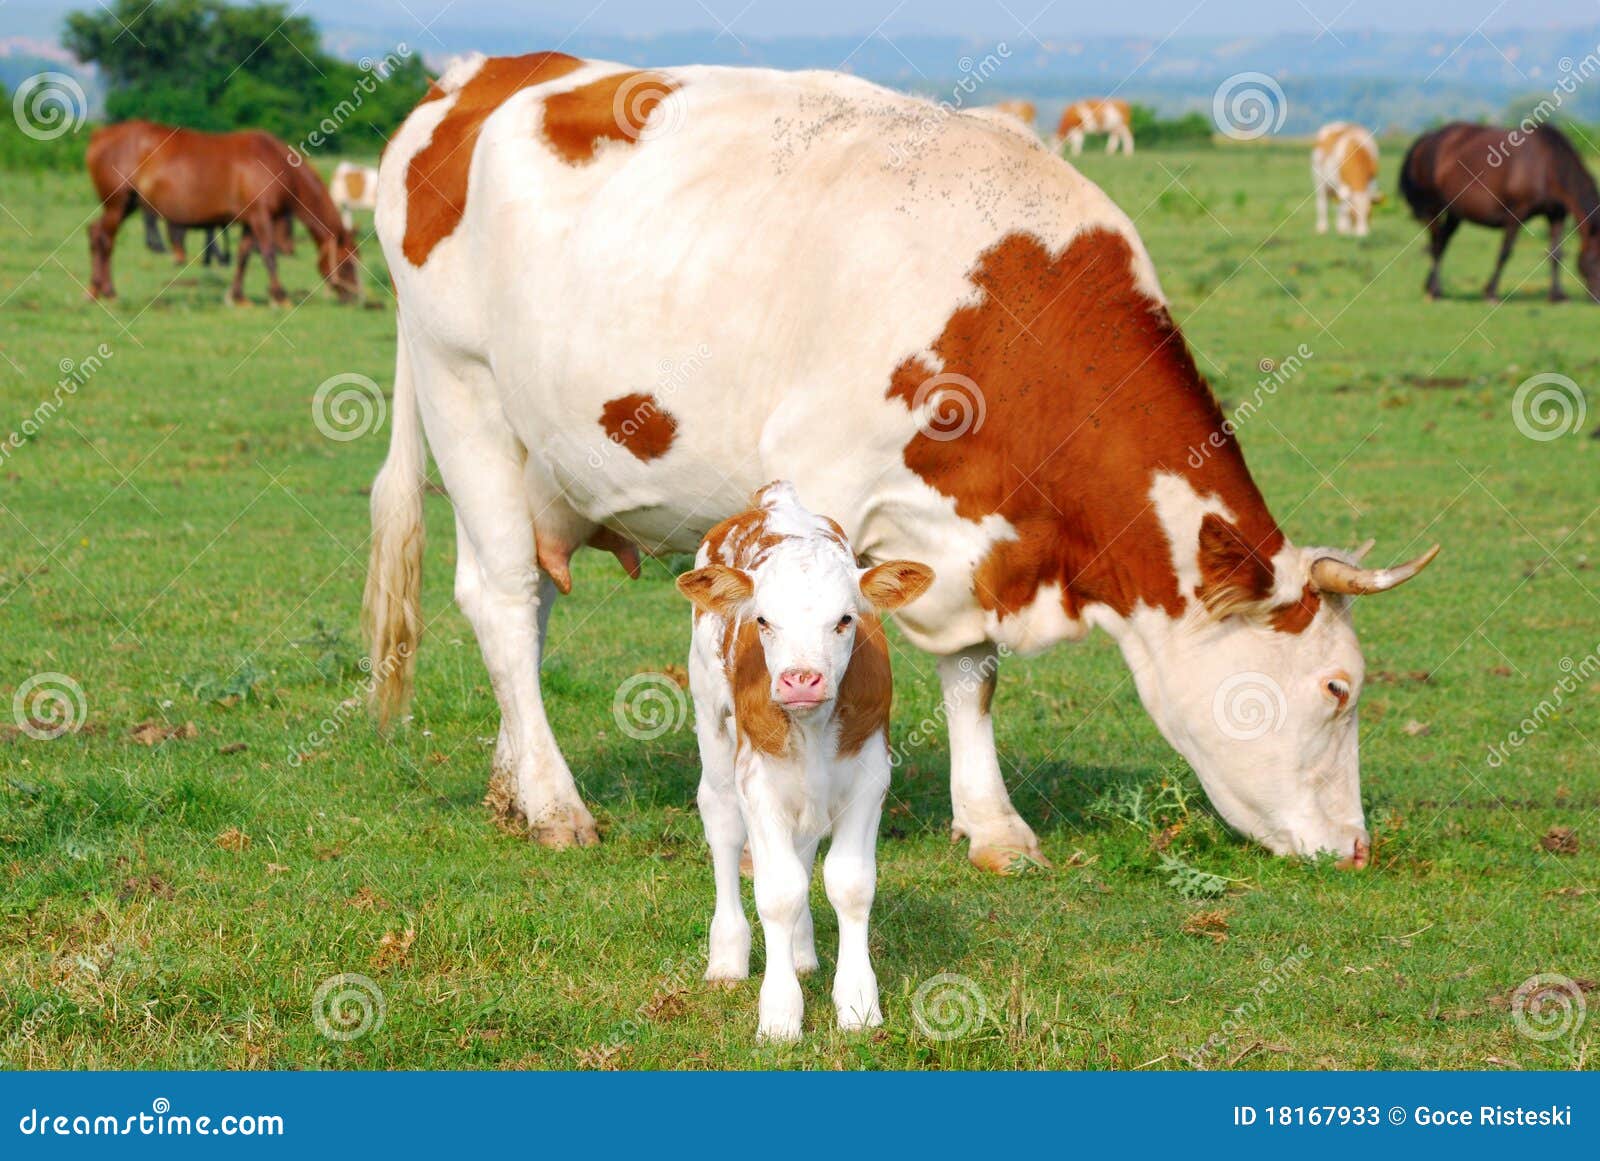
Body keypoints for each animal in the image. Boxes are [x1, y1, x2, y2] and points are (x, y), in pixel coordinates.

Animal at [363, 53, 1439, 876]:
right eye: (1337, 690)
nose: (1355, 848)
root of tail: (476, 76)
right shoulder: (820, 484)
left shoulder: (974, 531)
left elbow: (973, 676)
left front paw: (994, 825)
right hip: (465, 396)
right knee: (503, 603)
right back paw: (554, 804)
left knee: (528, 606)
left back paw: (511, 785)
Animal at [676, 481, 934, 1039]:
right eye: (763, 620)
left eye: (845, 619)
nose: (800, 679)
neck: (813, 728)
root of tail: (775, 498)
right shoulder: (757, 781)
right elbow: (778, 891)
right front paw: (779, 1015)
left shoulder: (869, 776)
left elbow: (849, 884)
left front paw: (857, 1003)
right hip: (712, 717)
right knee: (722, 822)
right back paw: (727, 957)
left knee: (805, 843)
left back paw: (800, 951)